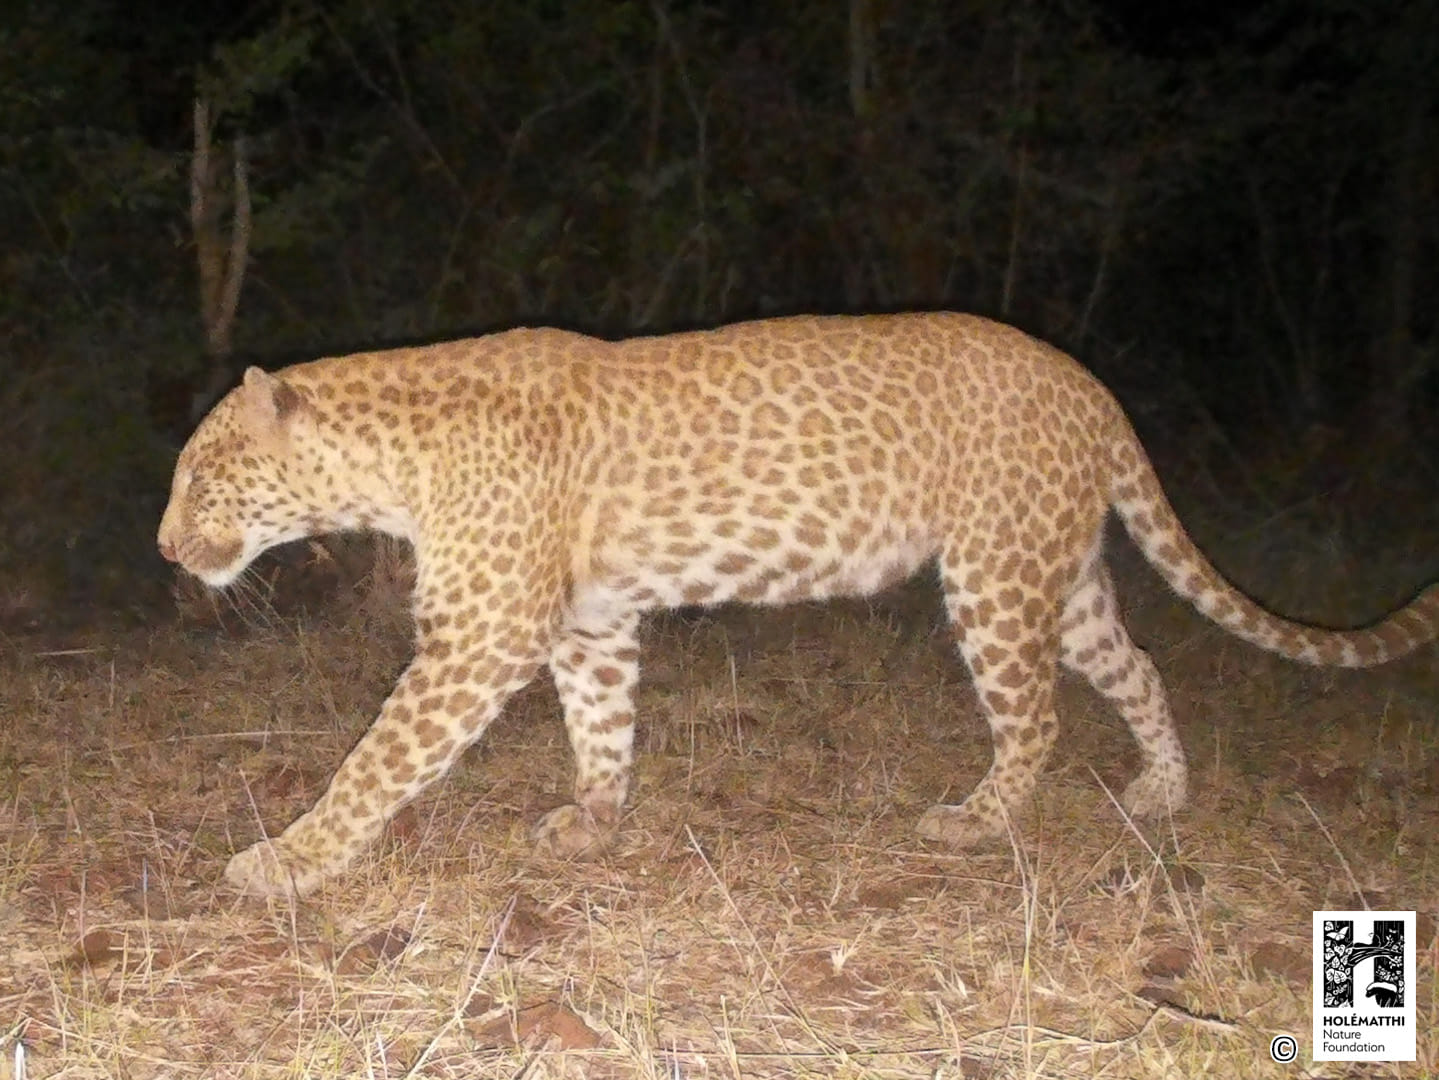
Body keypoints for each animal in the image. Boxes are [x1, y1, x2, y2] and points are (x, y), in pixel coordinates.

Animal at [157, 313, 1439, 898]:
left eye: (200, 478)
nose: (164, 547)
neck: (388, 462)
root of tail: (1086, 381)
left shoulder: (479, 636)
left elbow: (376, 759)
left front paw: (284, 860)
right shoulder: (587, 619)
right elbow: (601, 725)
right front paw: (594, 823)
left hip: (991, 576)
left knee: (1033, 717)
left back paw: (975, 822)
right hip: (1058, 576)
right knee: (1137, 668)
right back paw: (1161, 793)